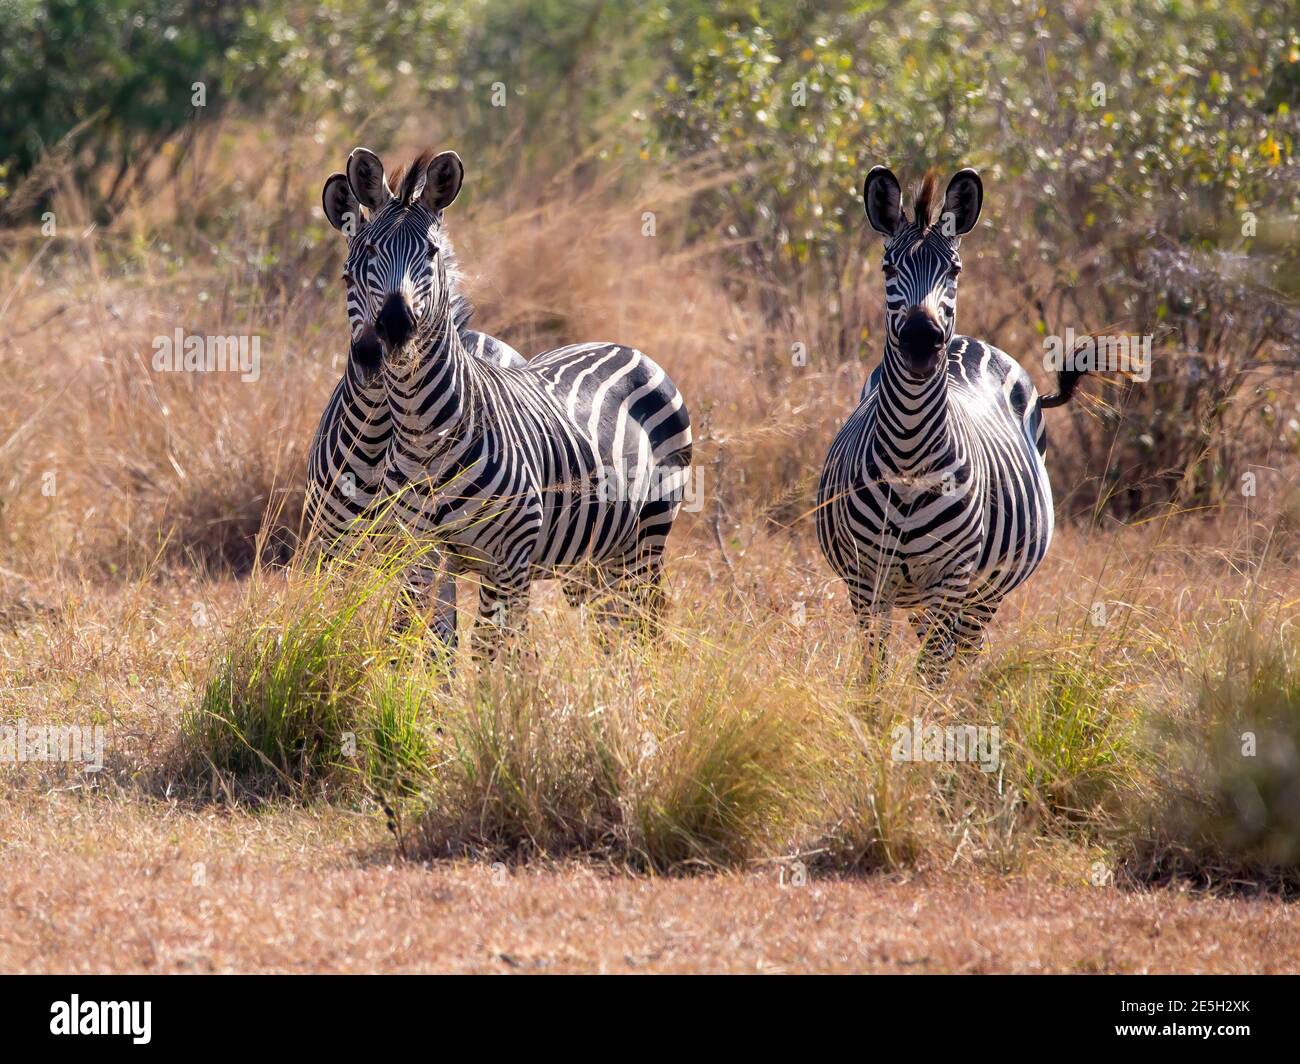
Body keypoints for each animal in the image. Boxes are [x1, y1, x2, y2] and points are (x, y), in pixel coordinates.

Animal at [816, 166, 1084, 683]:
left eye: (955, 271)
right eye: (887, 269)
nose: (923, 341)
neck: (908, 454)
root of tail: (970, 341)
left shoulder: (951, 578)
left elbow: (931, 677)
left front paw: (926, 707)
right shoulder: (865, 581)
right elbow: (874, 673)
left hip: (983, 592)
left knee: (962, 655)